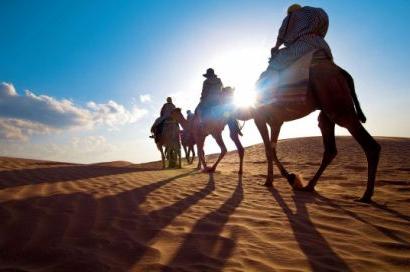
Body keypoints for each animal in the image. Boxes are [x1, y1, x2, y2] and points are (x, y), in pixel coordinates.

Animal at [240, 51, 382, 203]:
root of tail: (342, 71)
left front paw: (274, 180)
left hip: (335, 102)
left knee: (368, 144)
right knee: (329, 146)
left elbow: (268, 150)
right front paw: (287, 178)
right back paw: (309, 186)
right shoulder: (276, 122)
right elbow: (273, 149)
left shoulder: (260, 118)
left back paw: (366, 195)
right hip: (327, 111)